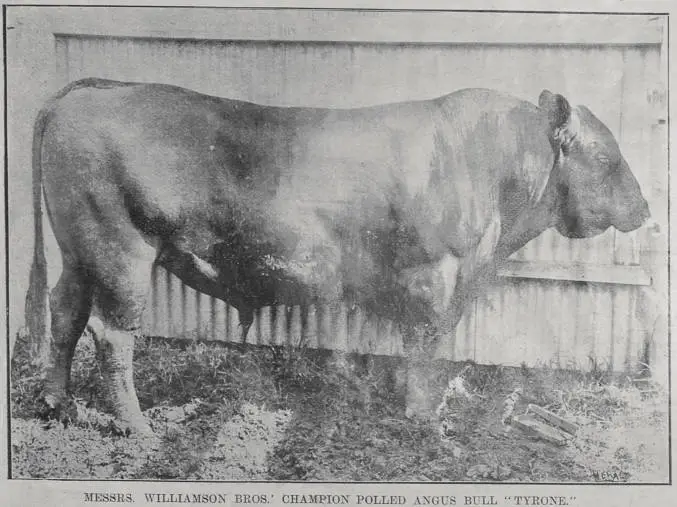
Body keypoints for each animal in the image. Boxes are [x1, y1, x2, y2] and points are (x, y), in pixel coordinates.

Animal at [25, 78, 650, 435]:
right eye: (606, 156)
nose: (645, 208)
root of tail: (89, 92)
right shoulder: (436, 273)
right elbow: (427, 344)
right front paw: (424, 416)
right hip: (121, 251)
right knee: (110, 334)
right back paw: (137, 429)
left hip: (79, 252)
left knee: (64, 315)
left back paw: (58, 404)